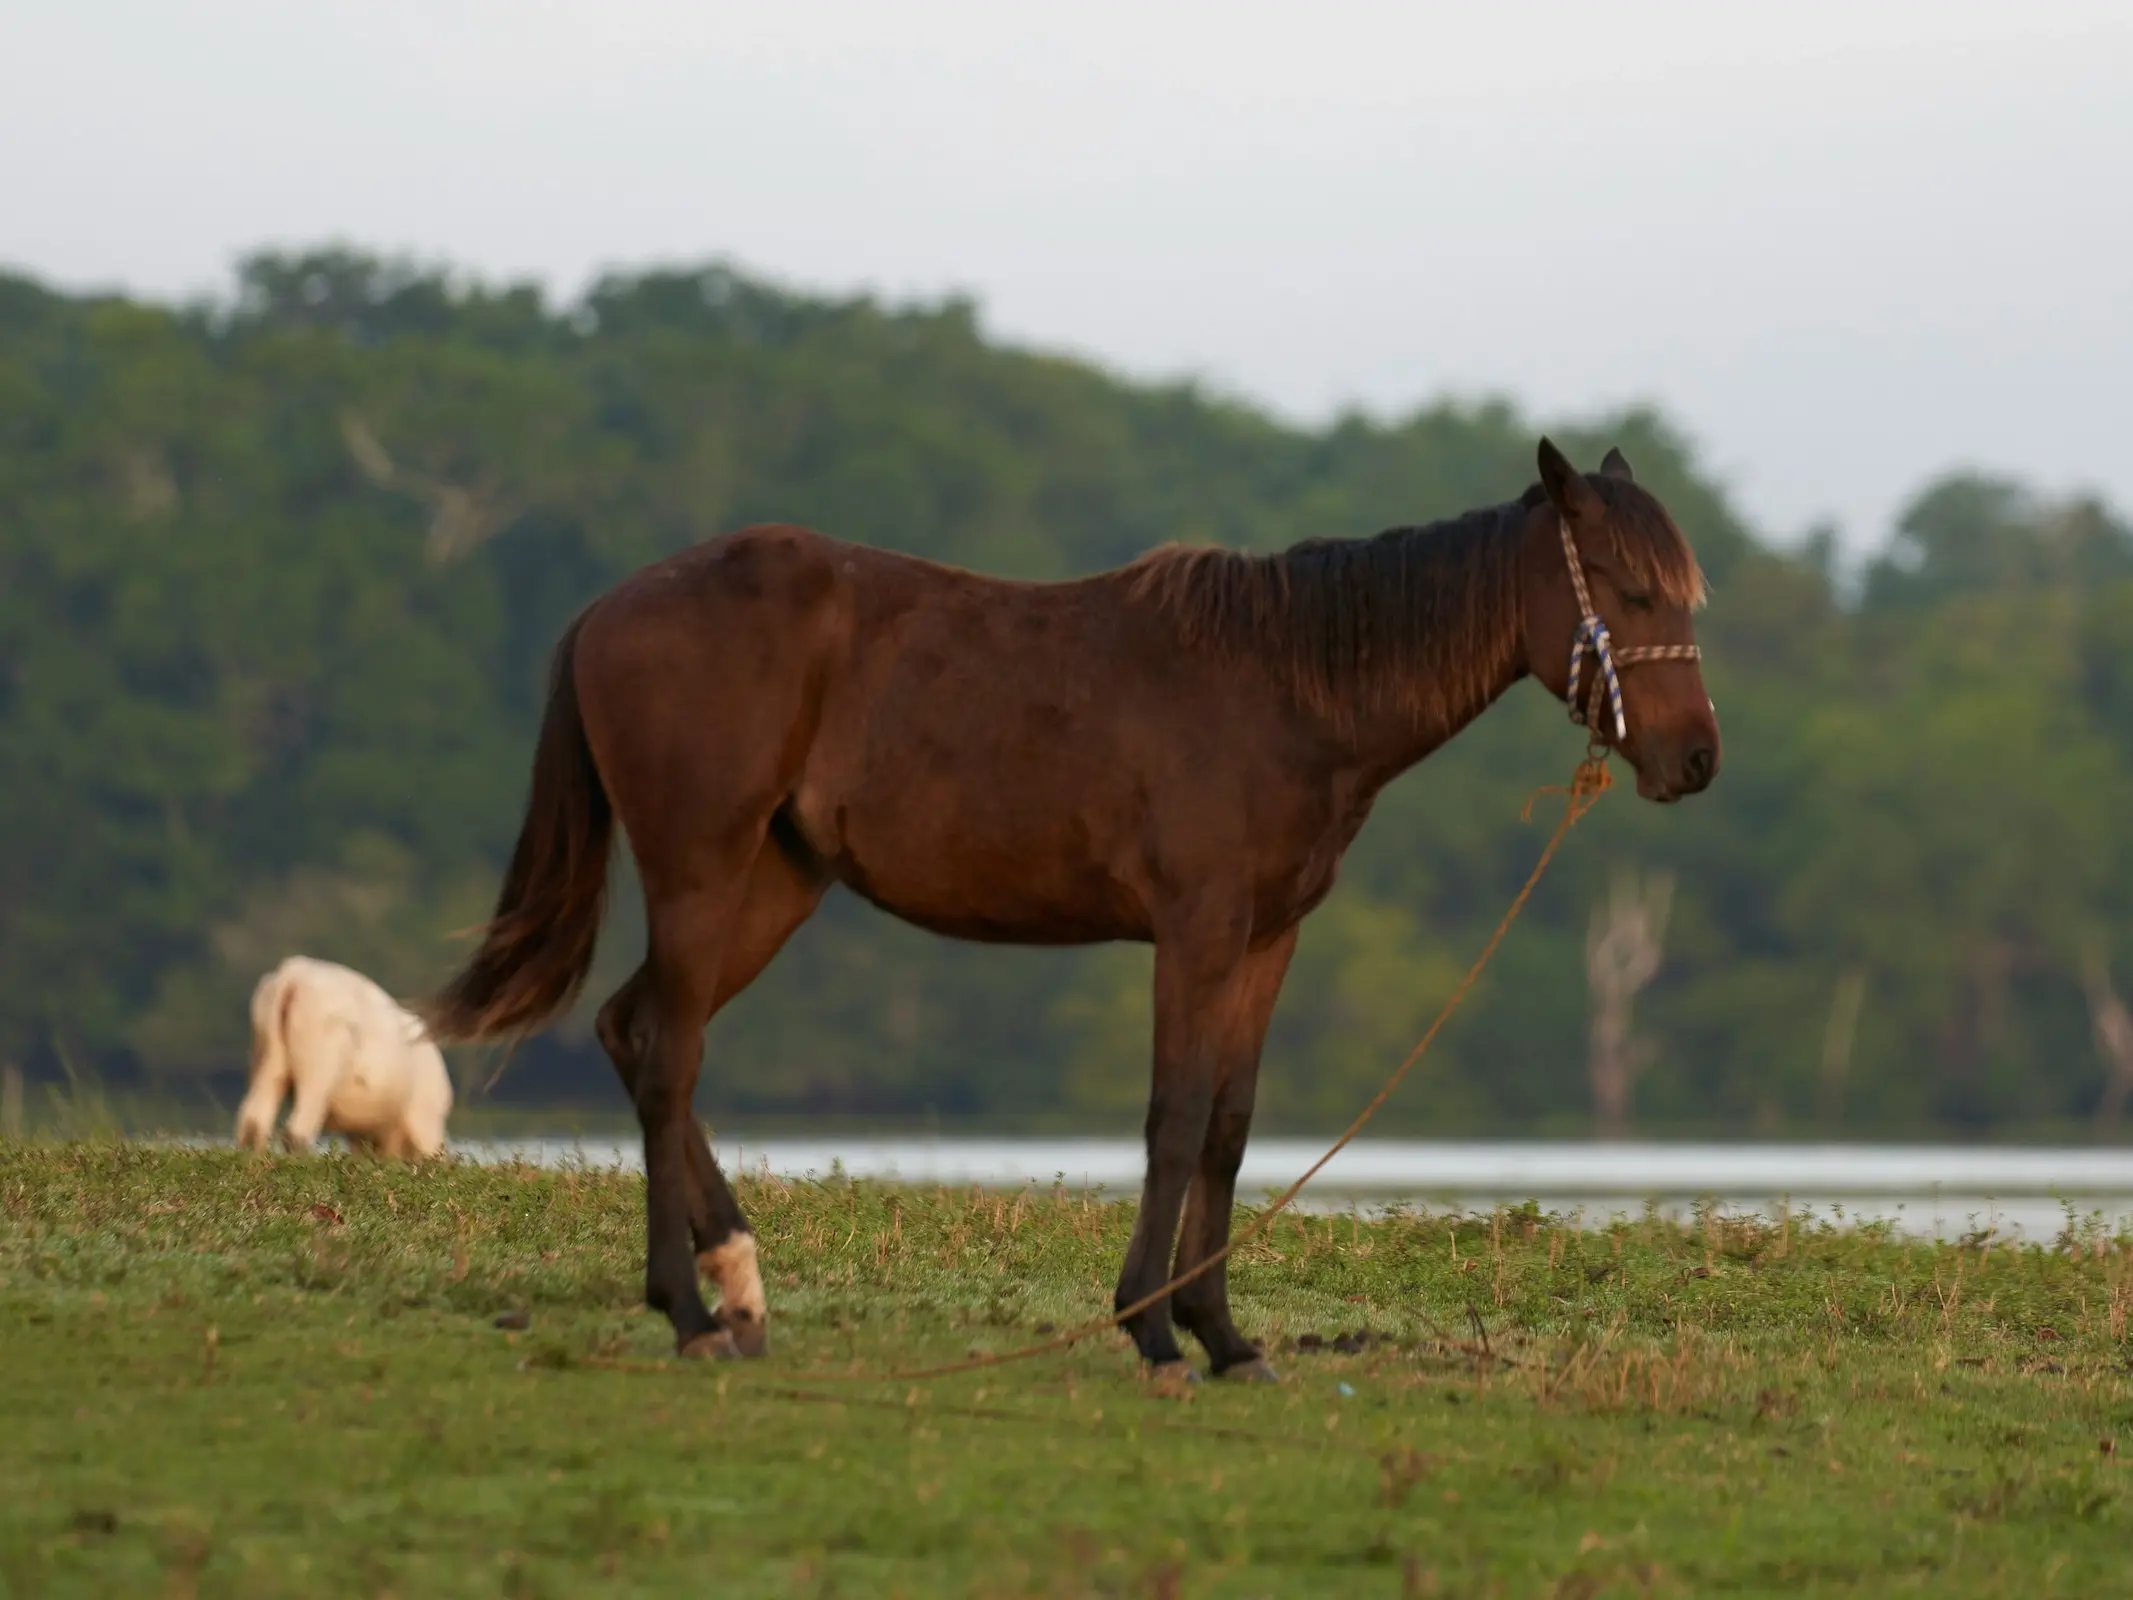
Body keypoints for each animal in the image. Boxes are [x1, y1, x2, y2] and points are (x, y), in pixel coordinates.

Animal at [238, 956, 454, 1160]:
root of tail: (294, 974)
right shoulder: (422, 1120)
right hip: (319, 1067)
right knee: (297, 1129)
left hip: (267, 1056)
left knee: (253, 1120)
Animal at [425, 437, 1719, 1382]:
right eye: (1631, 587)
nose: (1698, 760)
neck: (1290, 691)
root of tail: (609, 608)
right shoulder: (1195, 931)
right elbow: (1173, 1118)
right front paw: (1150, 1328)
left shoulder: (1267, 939)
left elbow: (1229, 1125)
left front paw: (1224, 1335)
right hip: (700, 868)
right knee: (668, 1057)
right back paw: (691, 1310)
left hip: (777, 882)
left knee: (637, 1029)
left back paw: (737, 1289)